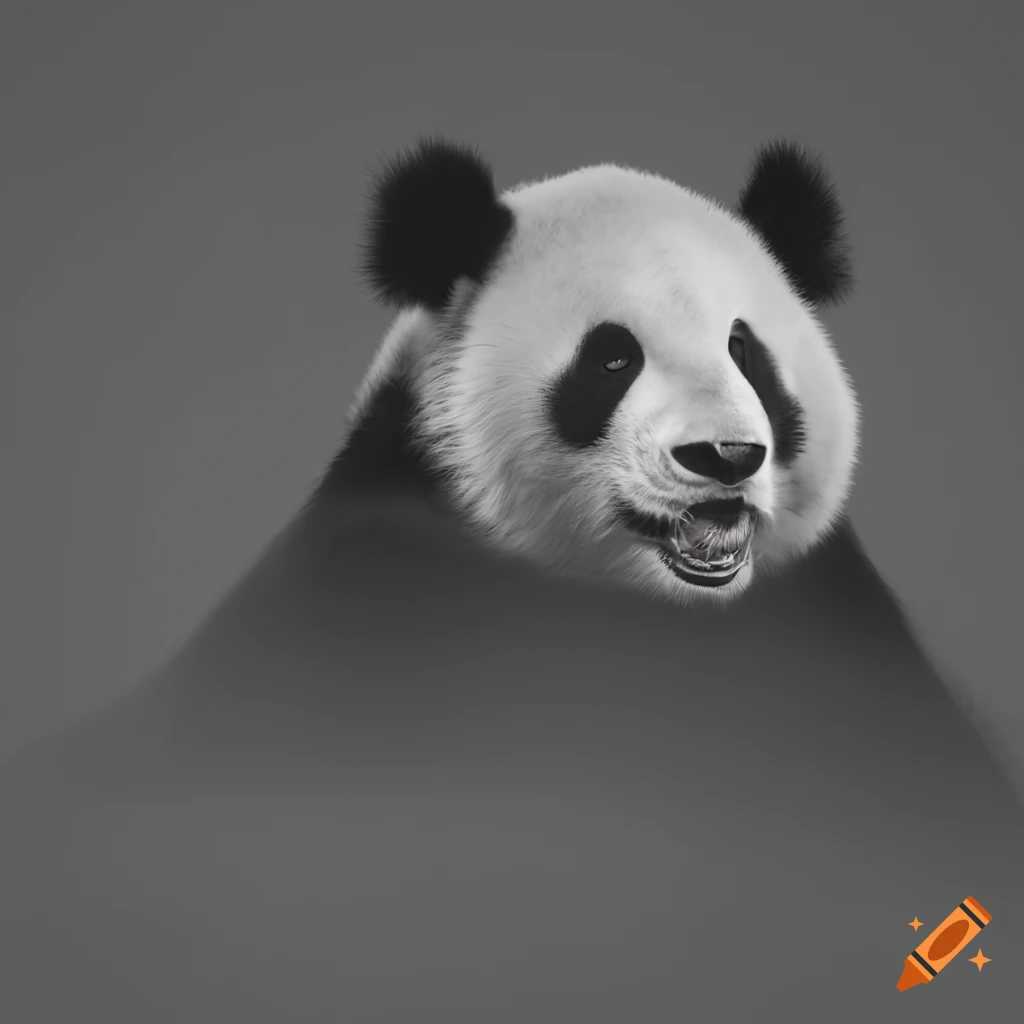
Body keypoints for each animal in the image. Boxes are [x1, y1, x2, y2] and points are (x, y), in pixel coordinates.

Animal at [1, 137, 1023, 1024]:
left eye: (748, 352)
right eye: (612, 358)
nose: (724, 456)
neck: (645, 607)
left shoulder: (826, 632)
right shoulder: (373, 601)